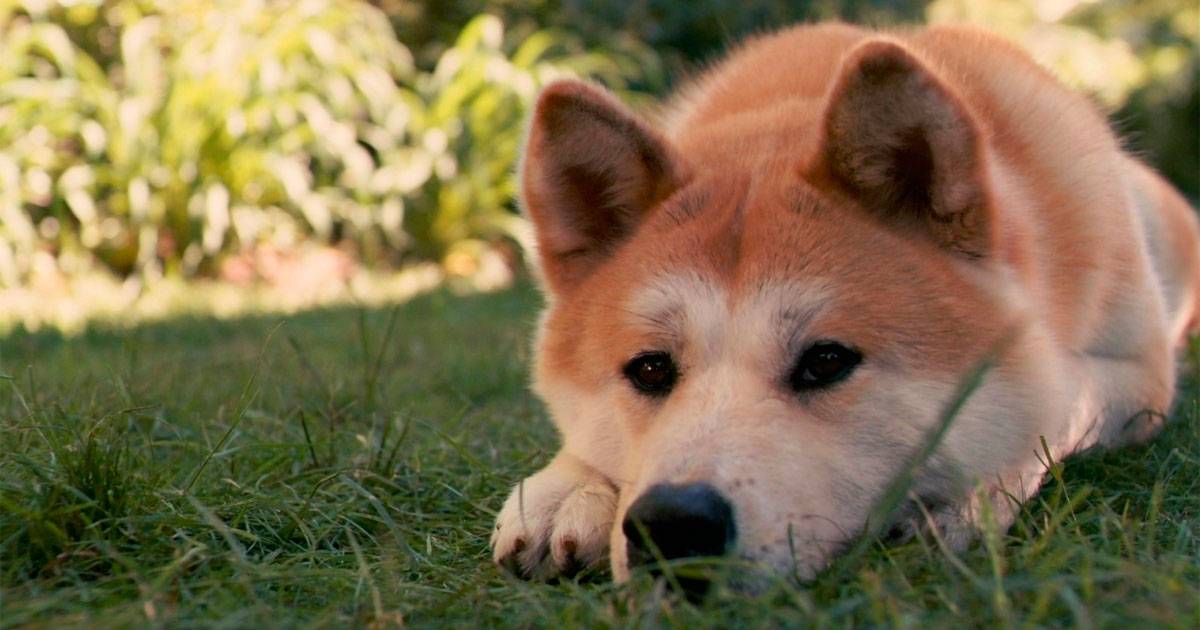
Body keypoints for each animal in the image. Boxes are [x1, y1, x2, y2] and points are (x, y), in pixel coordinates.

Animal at [490, 22, 1200, 589]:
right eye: (650, 369)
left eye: (827, 361)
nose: (673, 523)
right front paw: (567, 488)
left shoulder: (1138, 376)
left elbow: (1061, 400)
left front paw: (966, 497)